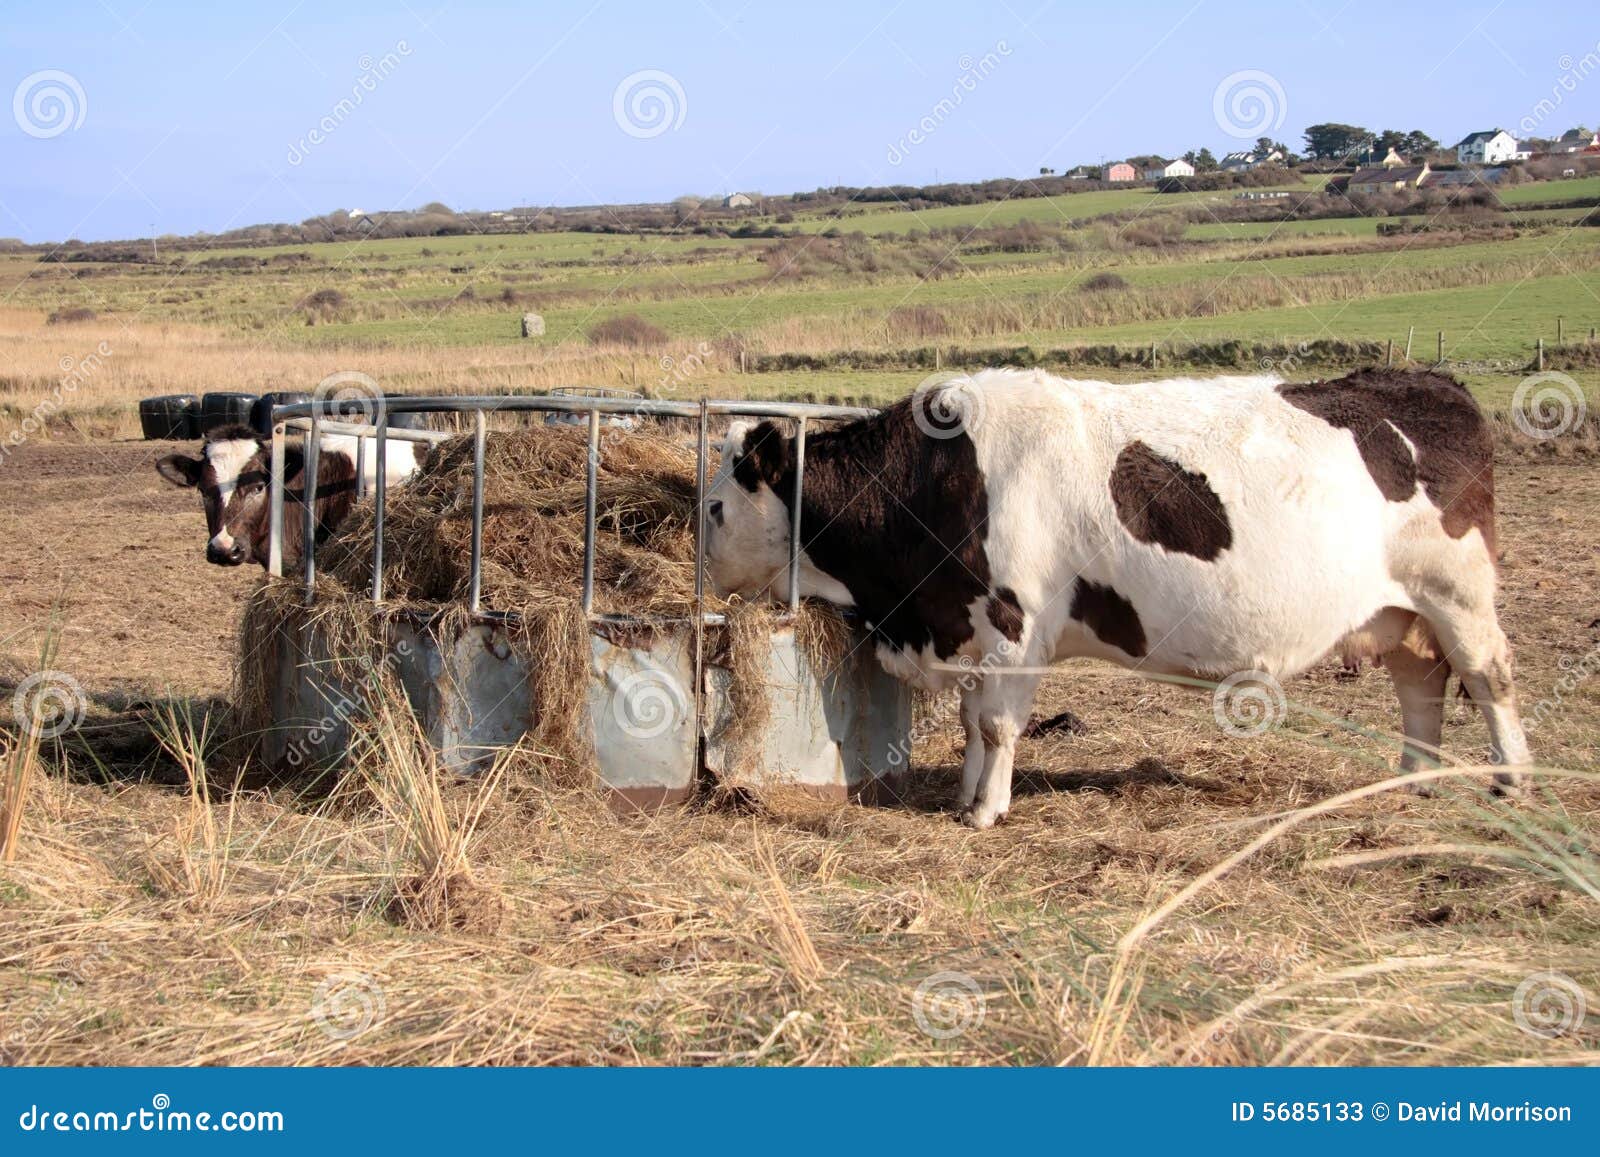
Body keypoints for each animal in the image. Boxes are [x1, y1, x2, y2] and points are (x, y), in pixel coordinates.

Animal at [703, 367, 1530, 829]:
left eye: (715, 508)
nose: (699, 569)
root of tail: (1430, 382)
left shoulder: (1015, 627)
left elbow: (998, 726)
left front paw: (987, 810)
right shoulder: (970, 631)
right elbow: (973, 724)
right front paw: (966, 795)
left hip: (1458, 593)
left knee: (1489, 677)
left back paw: (1510, 778)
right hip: (1404, 611)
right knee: (1420, 685)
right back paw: (1413, 780)